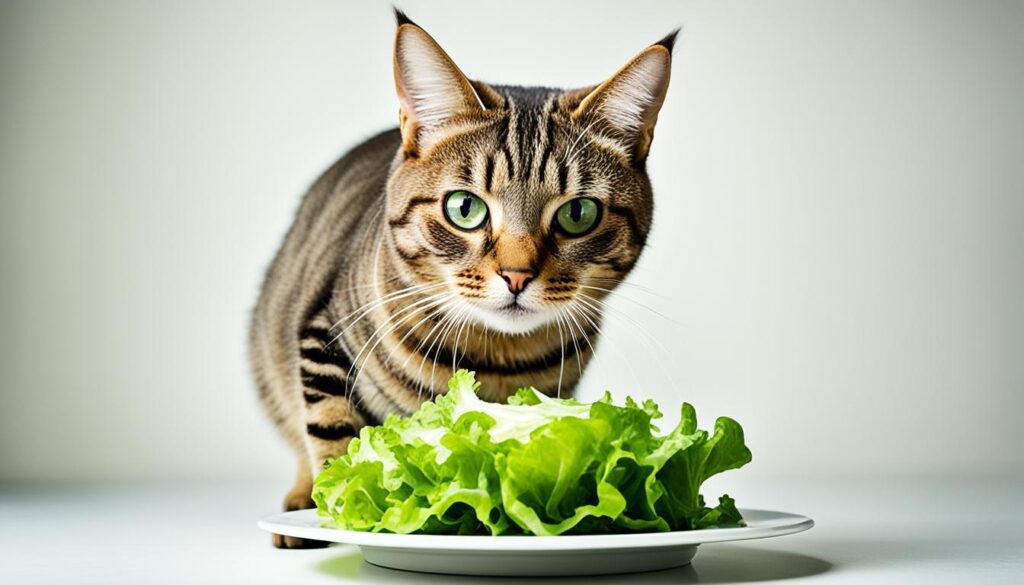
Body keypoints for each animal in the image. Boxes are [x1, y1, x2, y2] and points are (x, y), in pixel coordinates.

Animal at [250, 10, 675, 549]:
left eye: (578, 214)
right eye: (464, 209)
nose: (517, 275)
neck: (495, 358)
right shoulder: (321, 338)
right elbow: (333, 438)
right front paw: (347, 508)